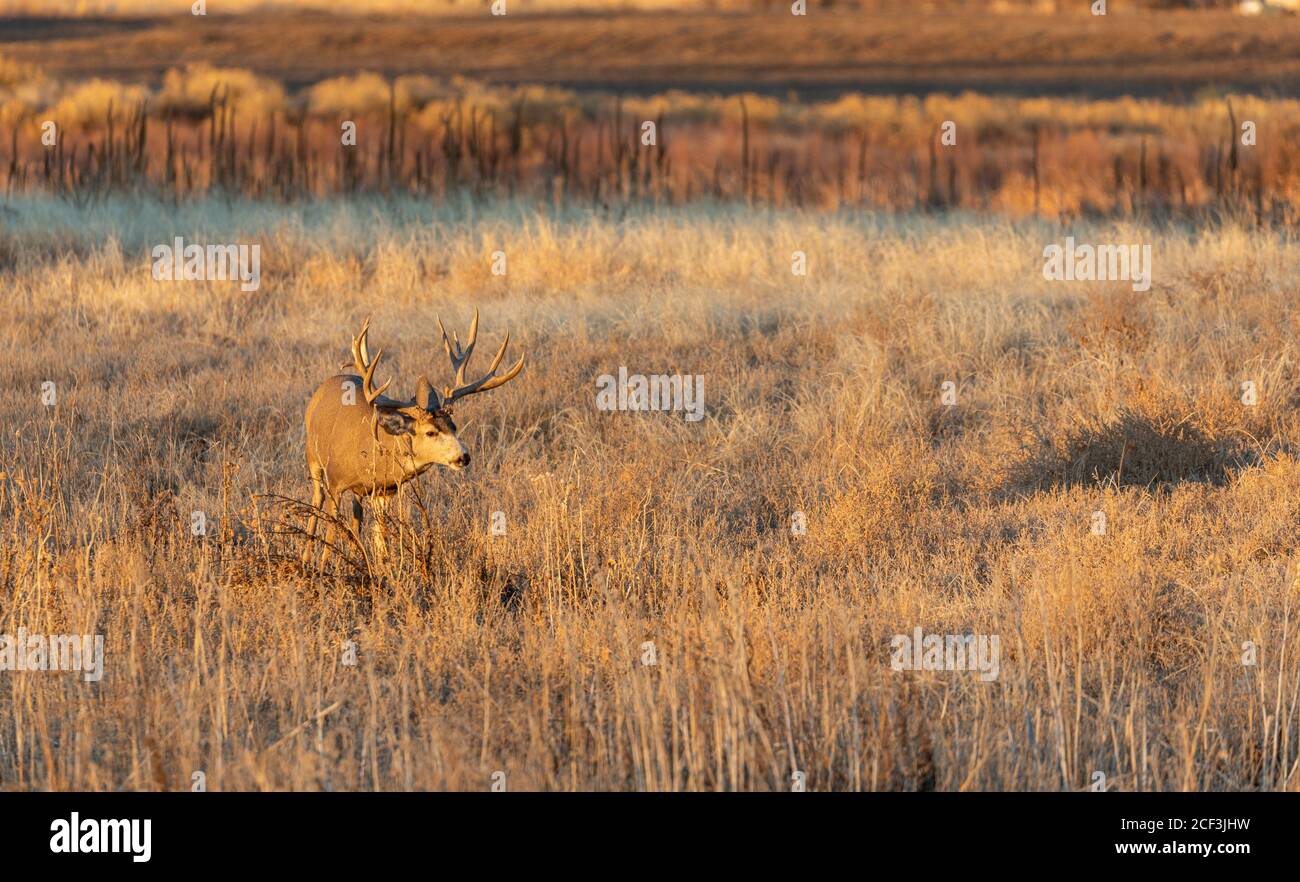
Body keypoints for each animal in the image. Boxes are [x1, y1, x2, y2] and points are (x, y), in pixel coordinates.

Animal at [302, 310, 523, 565]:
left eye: (454, 426)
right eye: (430, 432)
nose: (464, 457)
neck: (374, 453)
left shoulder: (385, 491)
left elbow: (382, 542)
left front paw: (380, 569)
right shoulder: (335, 482)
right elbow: (329, 538)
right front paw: (323, 567)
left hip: (358, 491)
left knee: (357, 517)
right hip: (313, 459)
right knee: (316, 501)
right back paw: (306, 558)